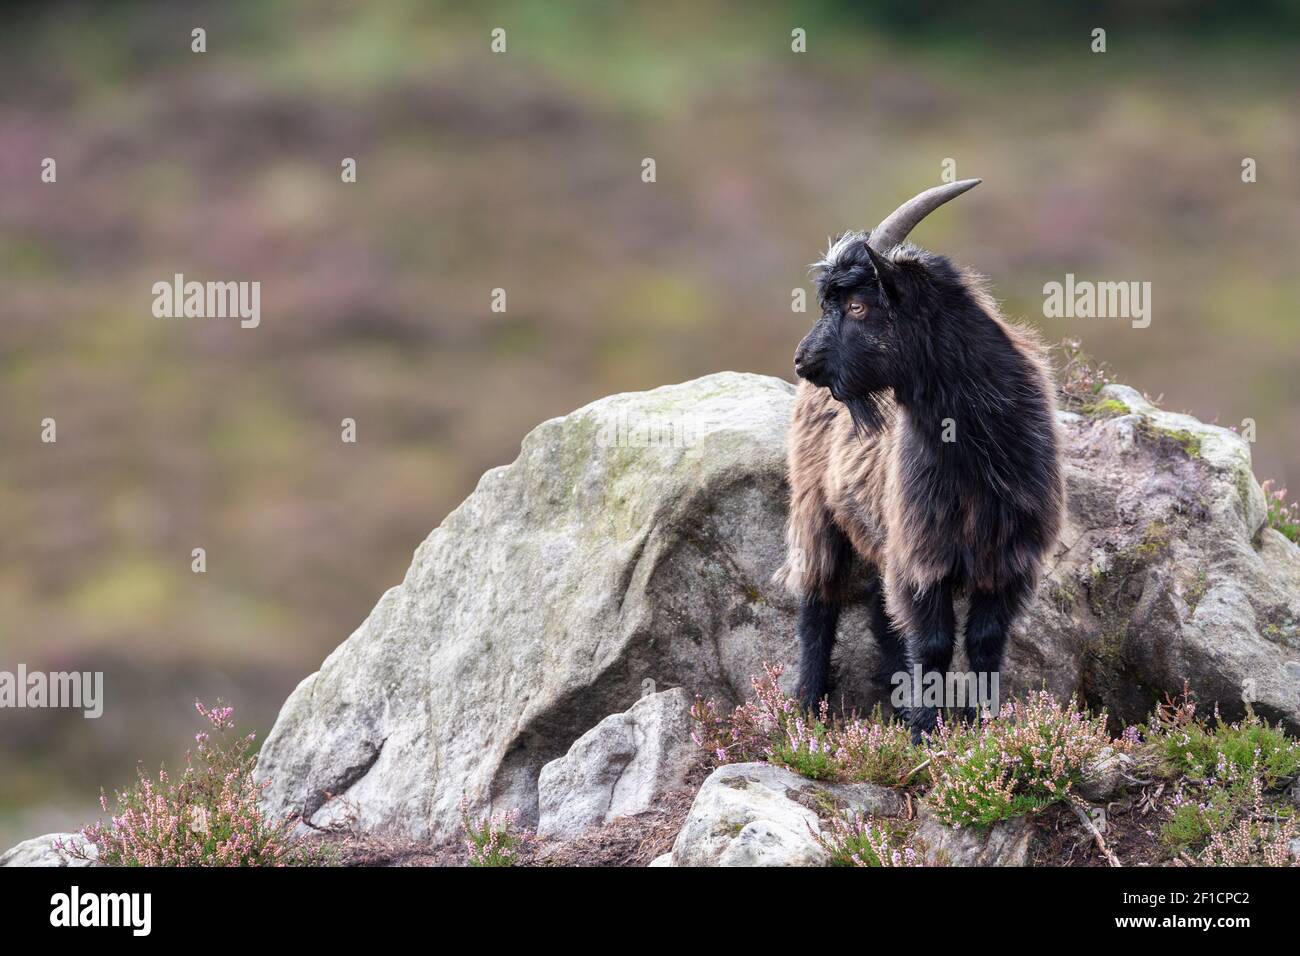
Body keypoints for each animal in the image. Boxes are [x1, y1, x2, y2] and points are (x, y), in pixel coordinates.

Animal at [775, 180, 1064, 739]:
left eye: (859, 306)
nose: (803, 360)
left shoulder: (1009, 559)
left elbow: (984, 642)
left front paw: (981, 725)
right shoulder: (922, 554)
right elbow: (932, 645)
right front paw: (927, 734)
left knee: (880, 617)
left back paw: (893, 706)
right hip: (815, 509)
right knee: (817, 607)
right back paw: (808, 710)